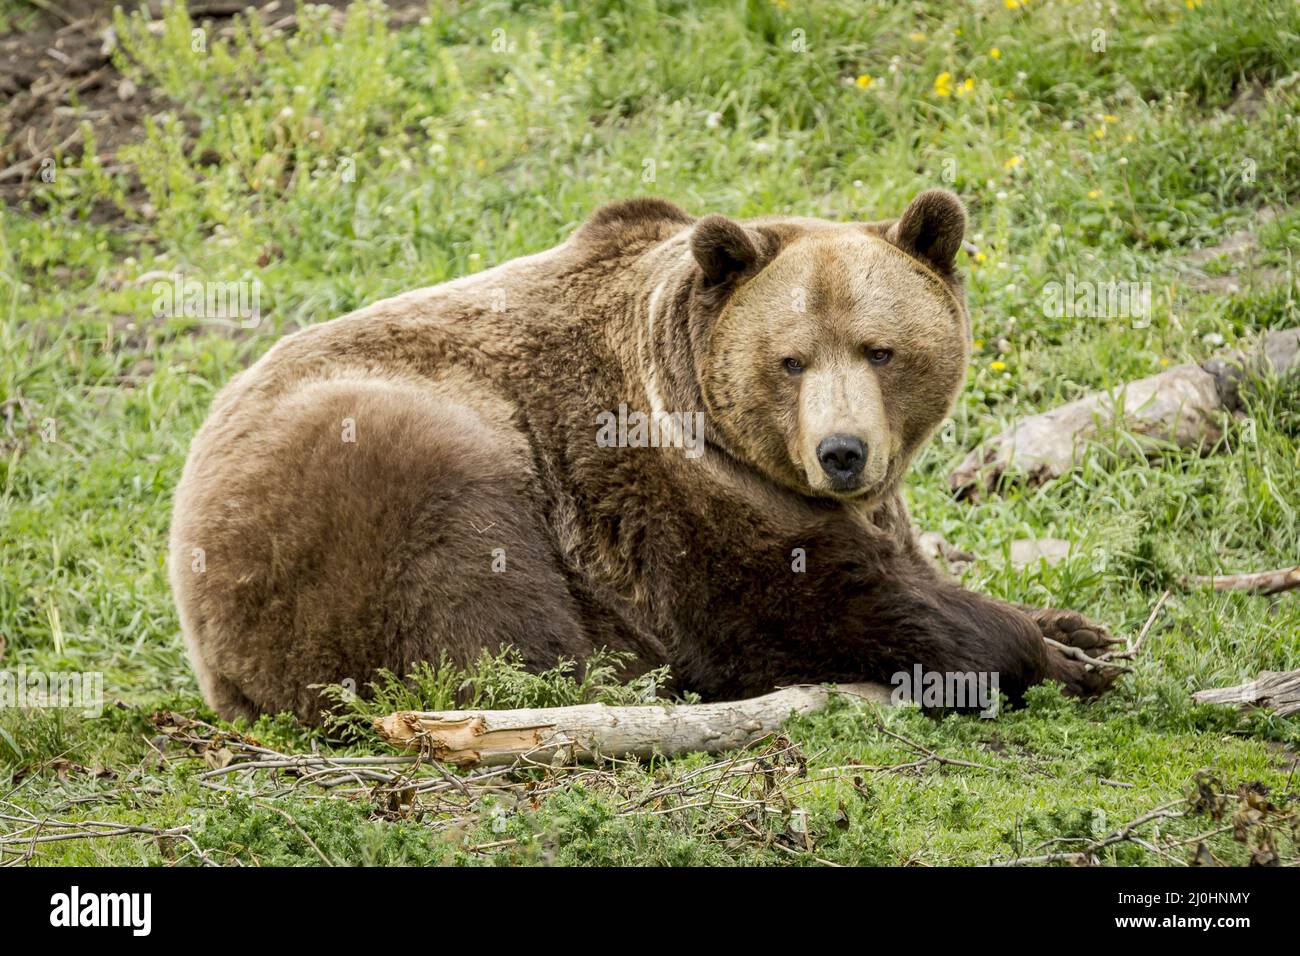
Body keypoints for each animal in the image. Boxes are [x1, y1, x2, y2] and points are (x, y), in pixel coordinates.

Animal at [168, 190, 1117, 725]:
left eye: (880, 350)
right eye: (791, 360)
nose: (842, 452)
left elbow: (905, 565)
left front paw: (1075, 627)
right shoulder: (665, 498)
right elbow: (818, 606)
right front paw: (1063, 659)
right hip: (379, 464)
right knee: (476, 597)